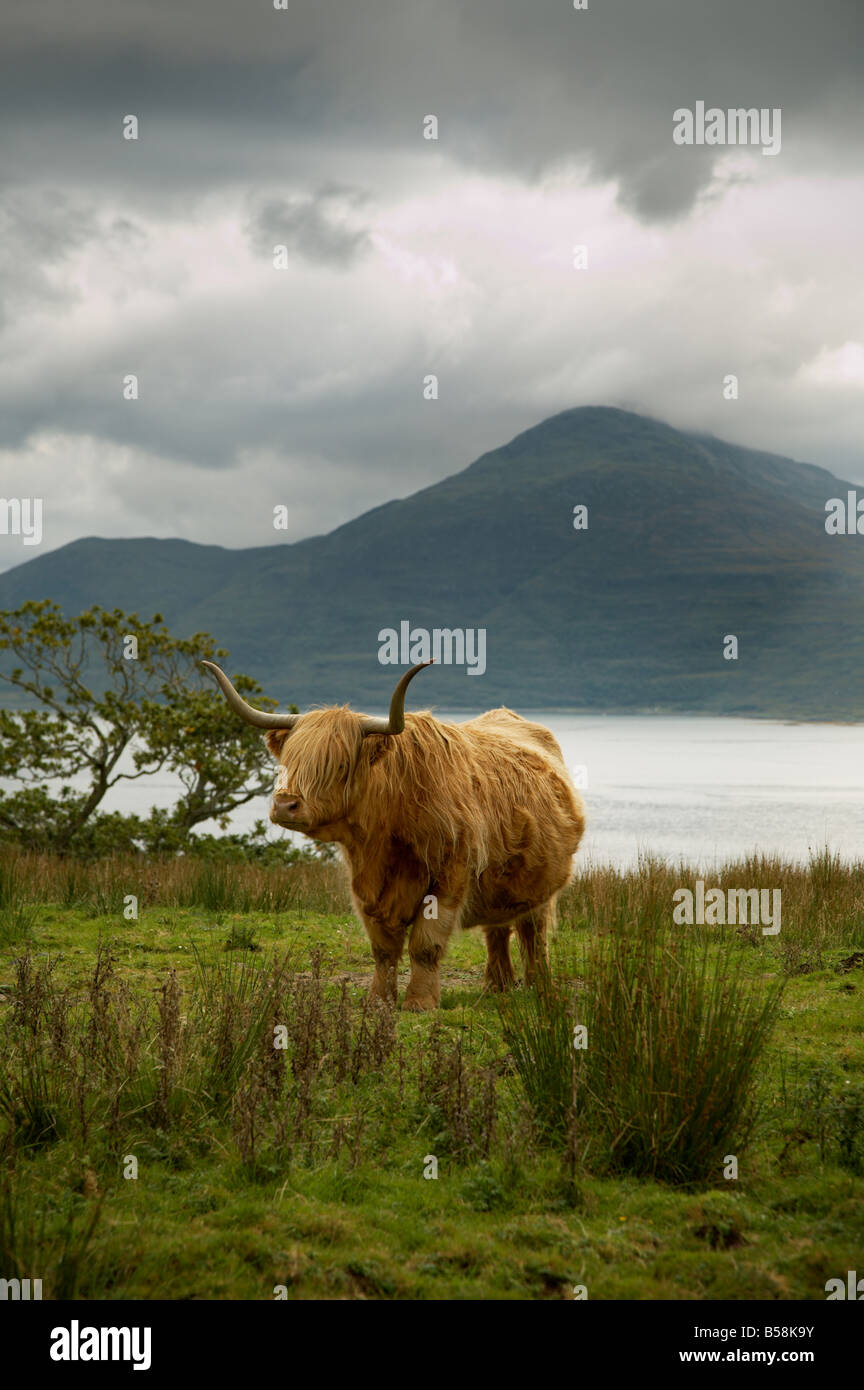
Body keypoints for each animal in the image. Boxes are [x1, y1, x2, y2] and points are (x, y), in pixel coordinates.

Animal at [202, 659, 585, 1010]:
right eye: (289, 760)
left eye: (340, 765)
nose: (285, 805)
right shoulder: (366, 888)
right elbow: (383, 947)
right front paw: (379, 1000)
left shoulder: (449, 877)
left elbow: (426, 944)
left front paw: (420, 1002)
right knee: (498, 930)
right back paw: (497, 986)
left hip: (541, 888)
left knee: (534, 934)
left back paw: (540, 989)